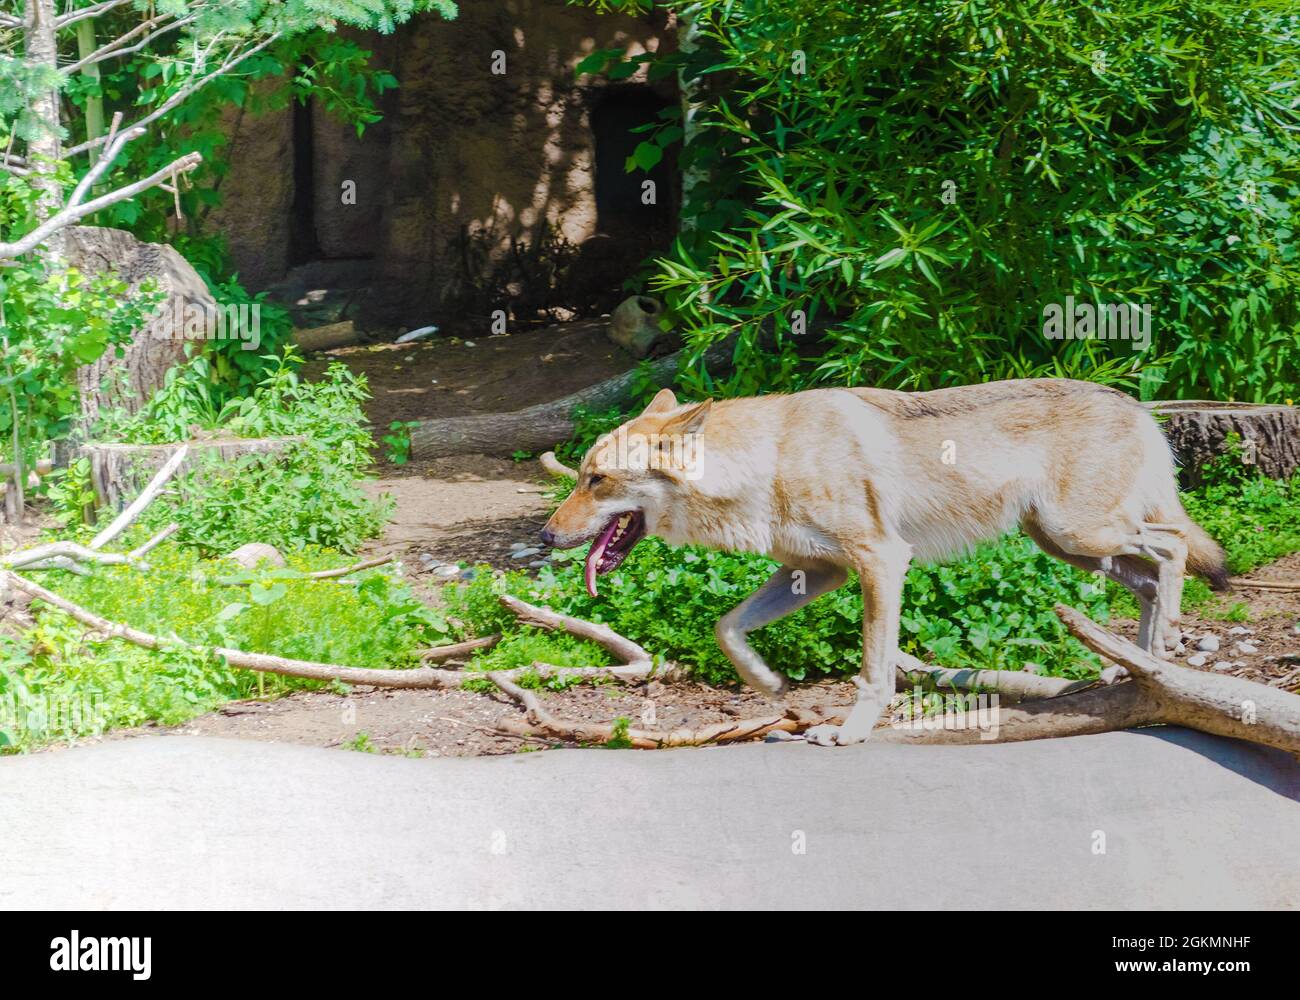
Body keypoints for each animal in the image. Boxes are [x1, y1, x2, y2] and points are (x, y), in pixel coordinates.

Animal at [540, 380, 1229, 746]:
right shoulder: (820, 573)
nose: (546, 536)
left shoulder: (880, 563)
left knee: (1172, 547)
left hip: (1079, 534)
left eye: (597, 480)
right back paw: (1141, 668)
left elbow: (874, 667)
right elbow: (726, 626)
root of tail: (1136, 405)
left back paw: (1163, 648)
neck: (770, 461)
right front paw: (768, 686)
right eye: (580, 478)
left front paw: (849, 731)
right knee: (1150, 578)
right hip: (1070, 547)